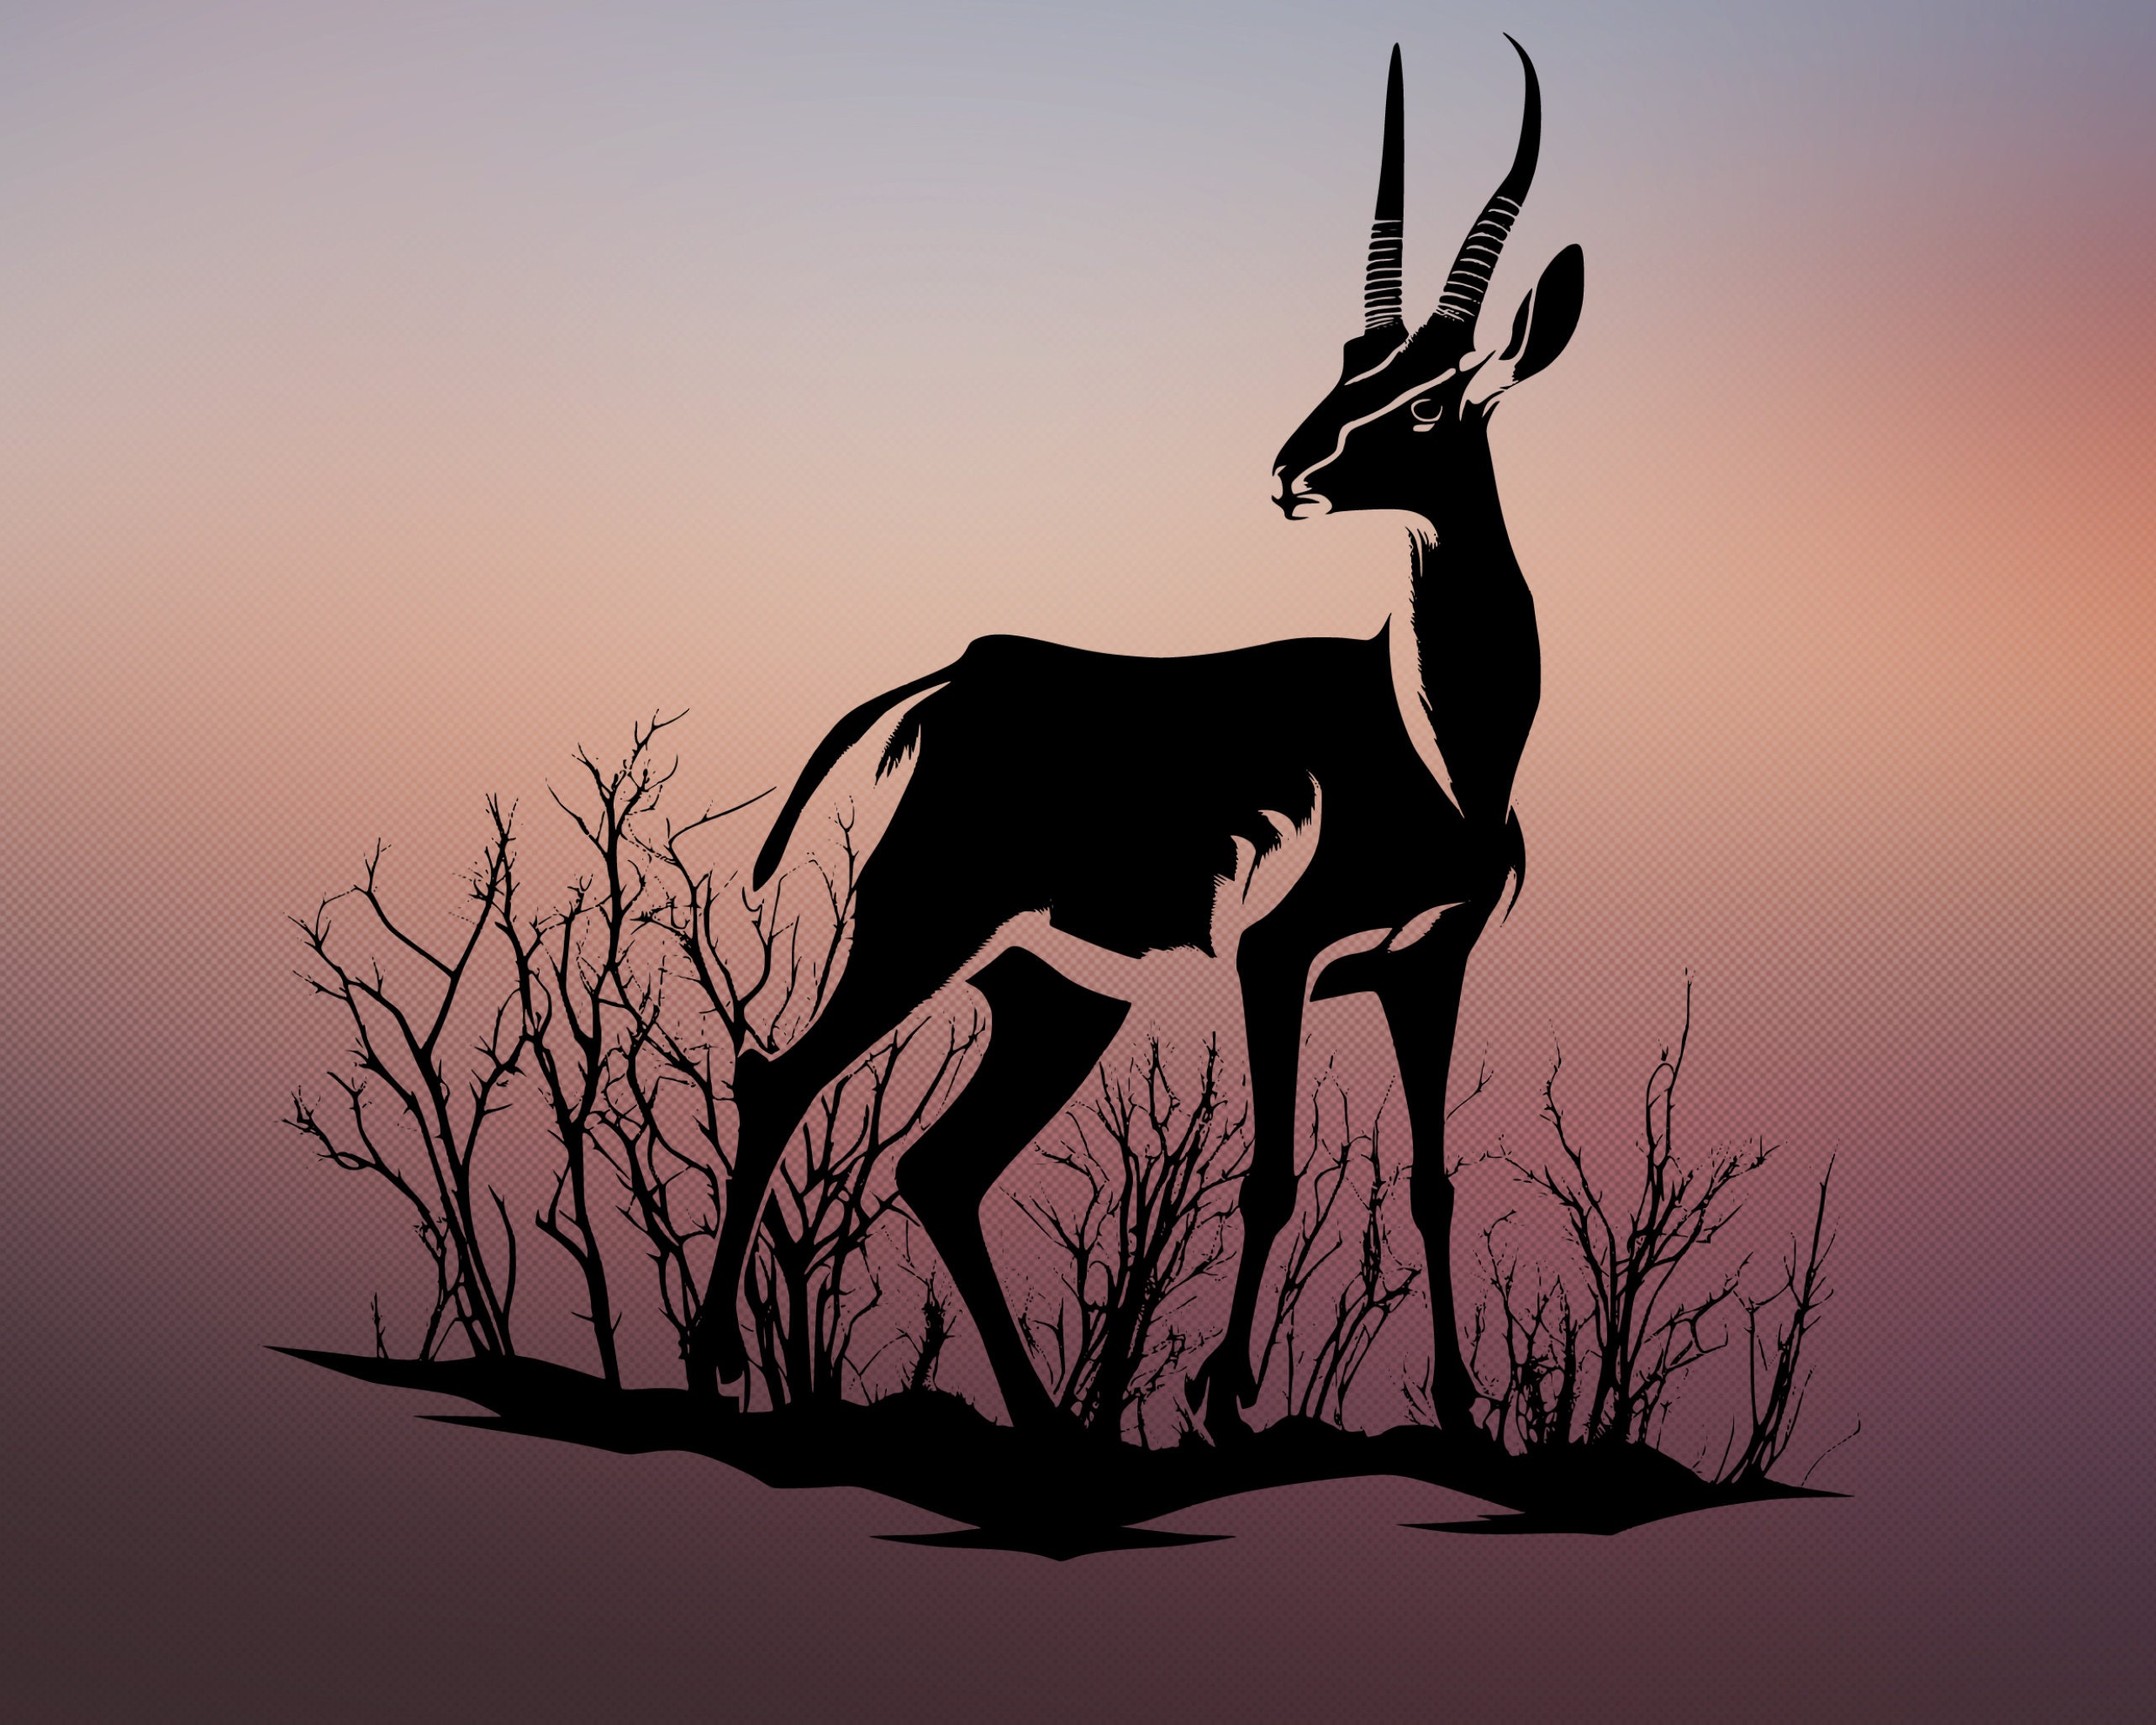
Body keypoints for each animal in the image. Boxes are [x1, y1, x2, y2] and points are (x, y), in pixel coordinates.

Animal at [689, 39, 1583, 1441]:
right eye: (1348, 365)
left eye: (1430, 399)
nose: (1292, 473)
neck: (1440, 748)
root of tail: (960, 674)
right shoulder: (1278, 957)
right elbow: (1270, 1175)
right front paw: (1224, 1402)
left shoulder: (1426, 966)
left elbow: (1433, 1179)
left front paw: (1453, 1407)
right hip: (923, 929)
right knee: (778, 1077)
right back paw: (716, 1363)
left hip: (1053, 996)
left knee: (939, 1167)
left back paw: (1043, 1418)